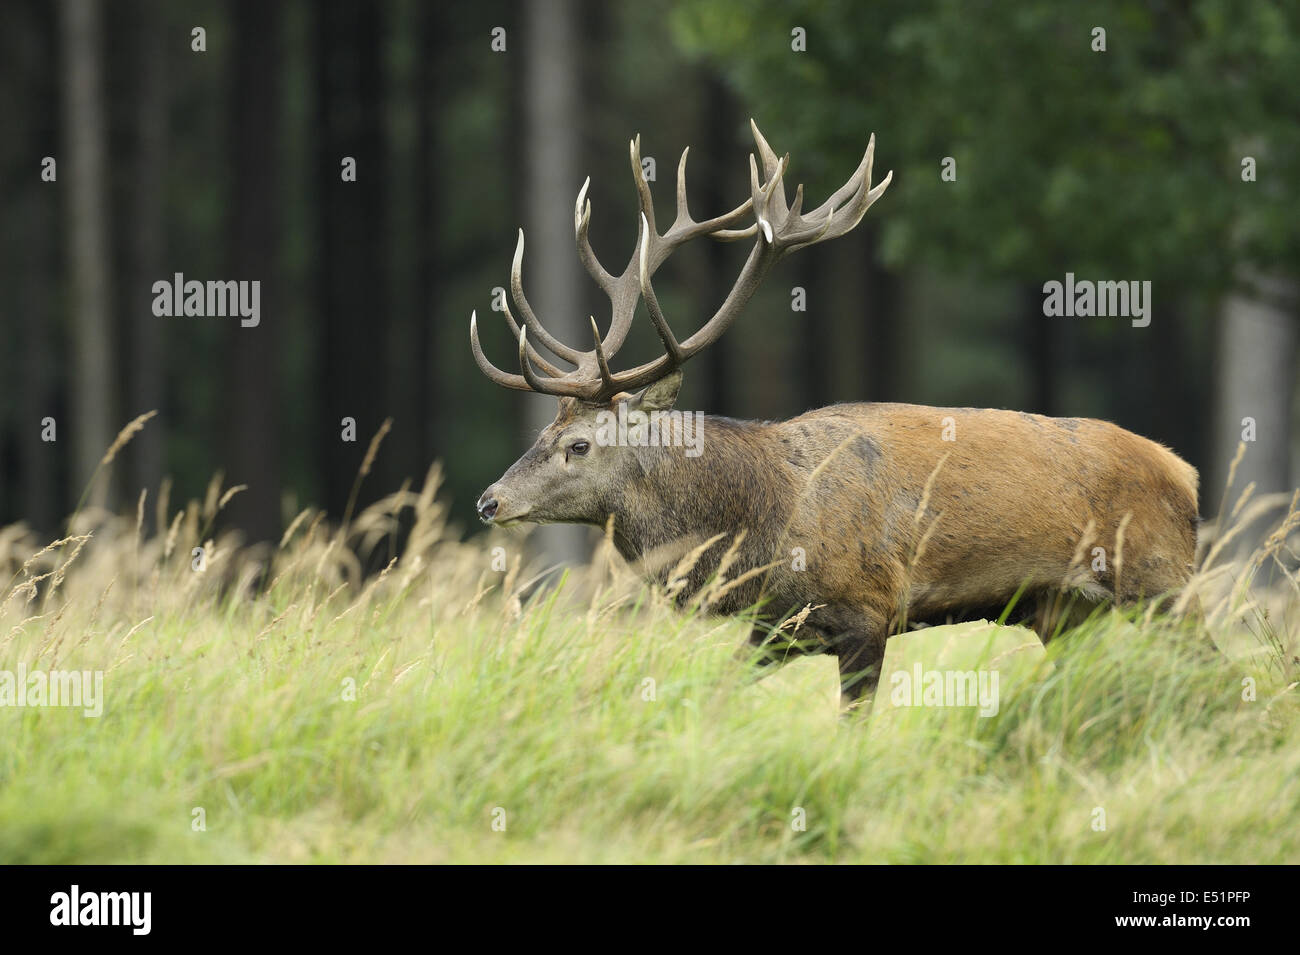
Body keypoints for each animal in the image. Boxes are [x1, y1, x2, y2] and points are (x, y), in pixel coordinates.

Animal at [470, 121, 1201, 705]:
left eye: (580, 446)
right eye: (545, 430)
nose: (489, 500)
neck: (763, 527)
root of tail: (1185, 474)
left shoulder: (867, 611)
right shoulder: (775, 630)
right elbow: (718, 694)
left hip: (1163, 581)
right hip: (1069, 613)